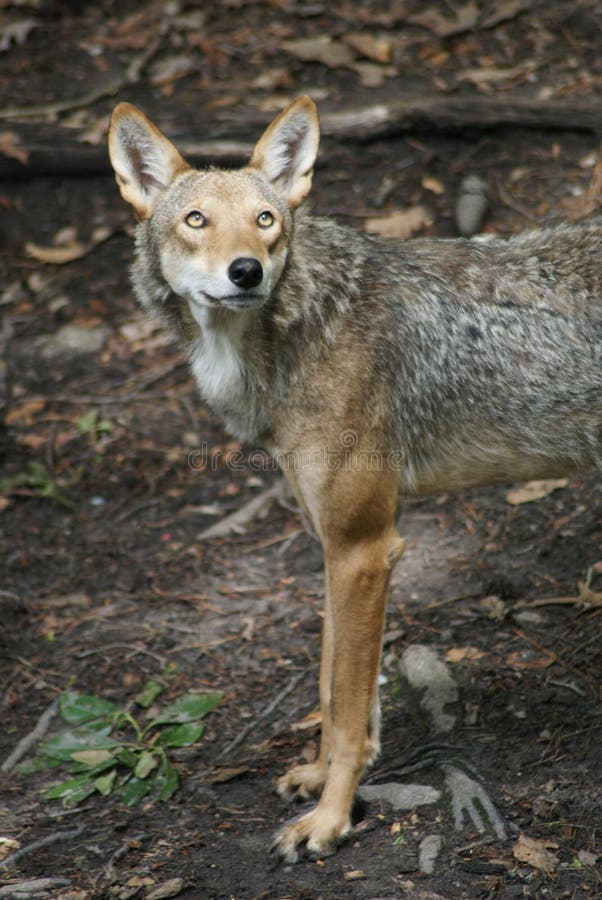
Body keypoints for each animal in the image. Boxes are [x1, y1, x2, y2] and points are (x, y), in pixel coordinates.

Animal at [109, 95, 602, 861]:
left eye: (266, 220)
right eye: (196, 220)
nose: (246, 272)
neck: (299, 330)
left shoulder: (365, 548)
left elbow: (343, 708)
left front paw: (331, 820)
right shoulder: (333, 546)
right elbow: (335, 687)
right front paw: (318, 781)